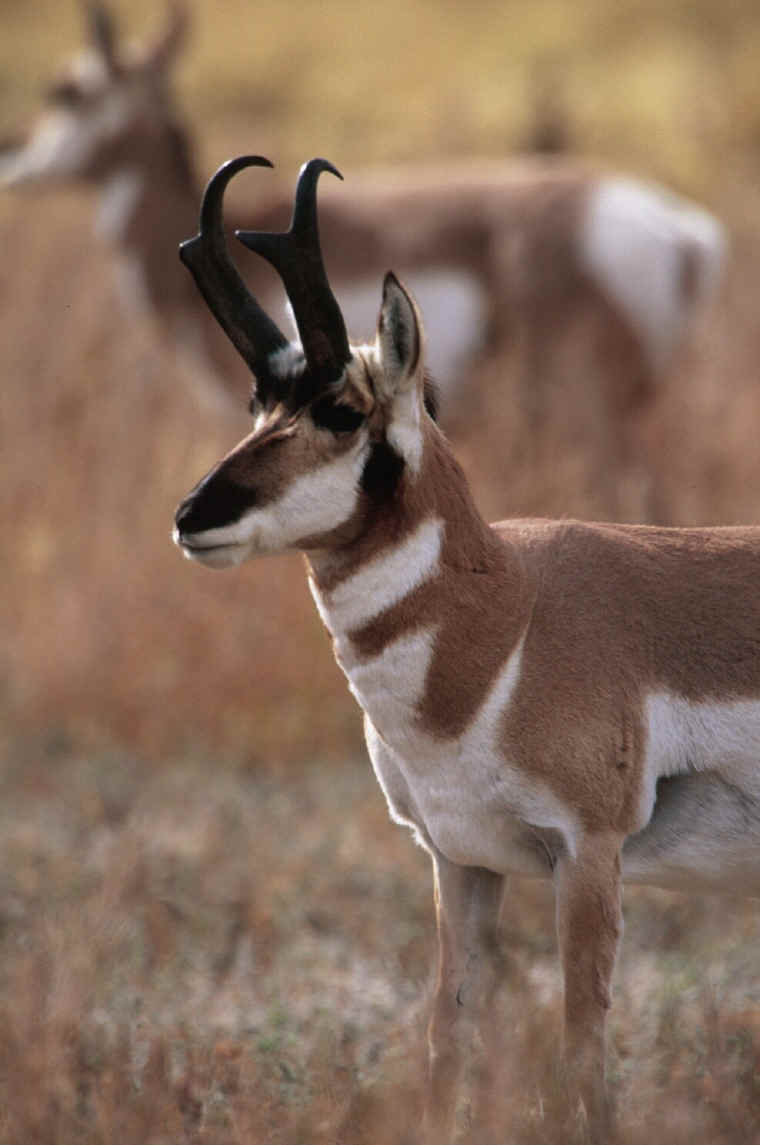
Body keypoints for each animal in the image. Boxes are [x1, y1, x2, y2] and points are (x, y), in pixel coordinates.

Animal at [173, 156, 760, 1140]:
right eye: (260, 401)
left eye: (340, 408)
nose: (193, 515)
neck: (508, 618)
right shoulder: (460, 860)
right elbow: (445, 1041)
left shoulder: (587, 856)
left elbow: (582, 1053)